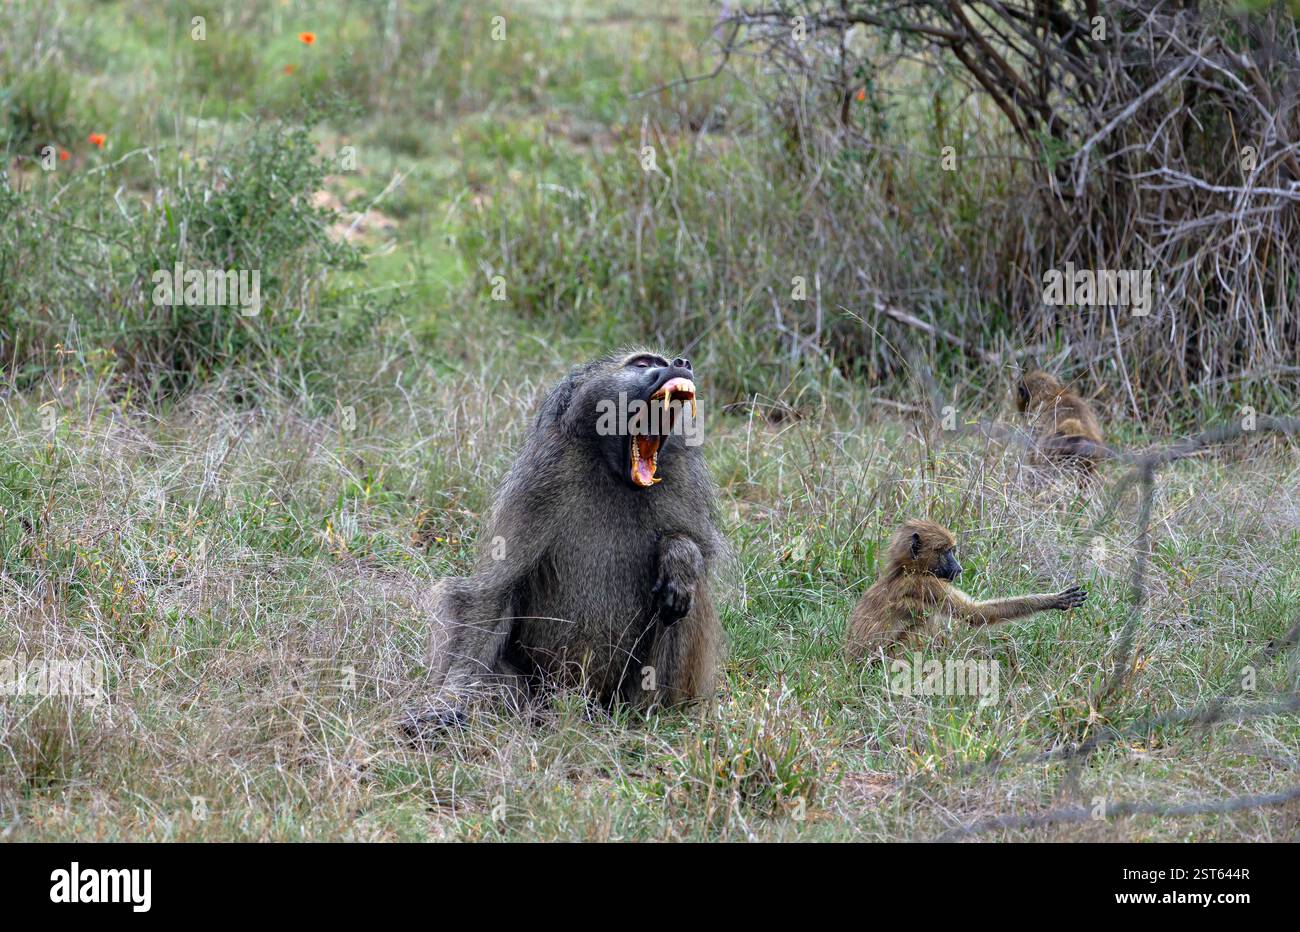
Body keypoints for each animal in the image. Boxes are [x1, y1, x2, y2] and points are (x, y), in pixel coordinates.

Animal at [405, 349, 724, 735]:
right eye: (644, 364)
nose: (682, 363)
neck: (612, 470)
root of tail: (585, 704)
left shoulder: (683, 480)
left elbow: (699, 553)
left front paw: (681, 557)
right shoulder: (542, 478)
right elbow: (495, 592)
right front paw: (449, 701)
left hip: (626, 697)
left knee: (686, 600)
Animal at [844, 519, 1087, 661]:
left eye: (952, 551)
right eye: (946, 552)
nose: (959, 568)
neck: (905, 570)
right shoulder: (930, 585)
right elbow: (976, 614)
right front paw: (1053, 599)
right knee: (925, 621)